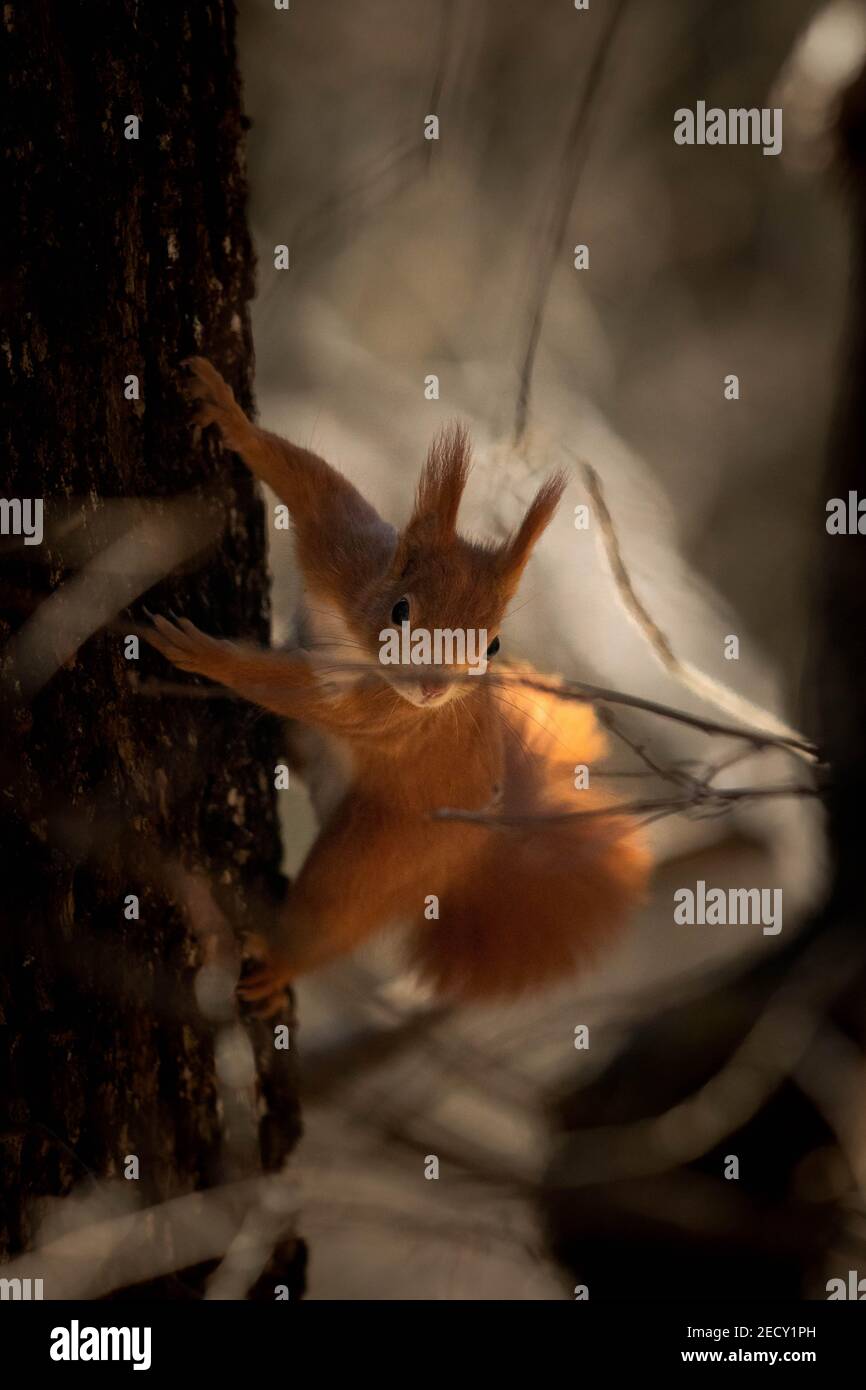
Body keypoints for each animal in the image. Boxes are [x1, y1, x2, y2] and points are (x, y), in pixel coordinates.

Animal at [146, 358, 650, 1015]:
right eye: (401, 610)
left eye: (492, 646)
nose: (431, 692)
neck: (360, 649)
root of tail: (474, 848)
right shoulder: (347, 552)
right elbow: (312, 483)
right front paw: (228, 413)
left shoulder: (381, 711)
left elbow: (296, 691)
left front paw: (203, 654)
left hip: (386, 854)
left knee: (335, 912)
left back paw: (278, 964)